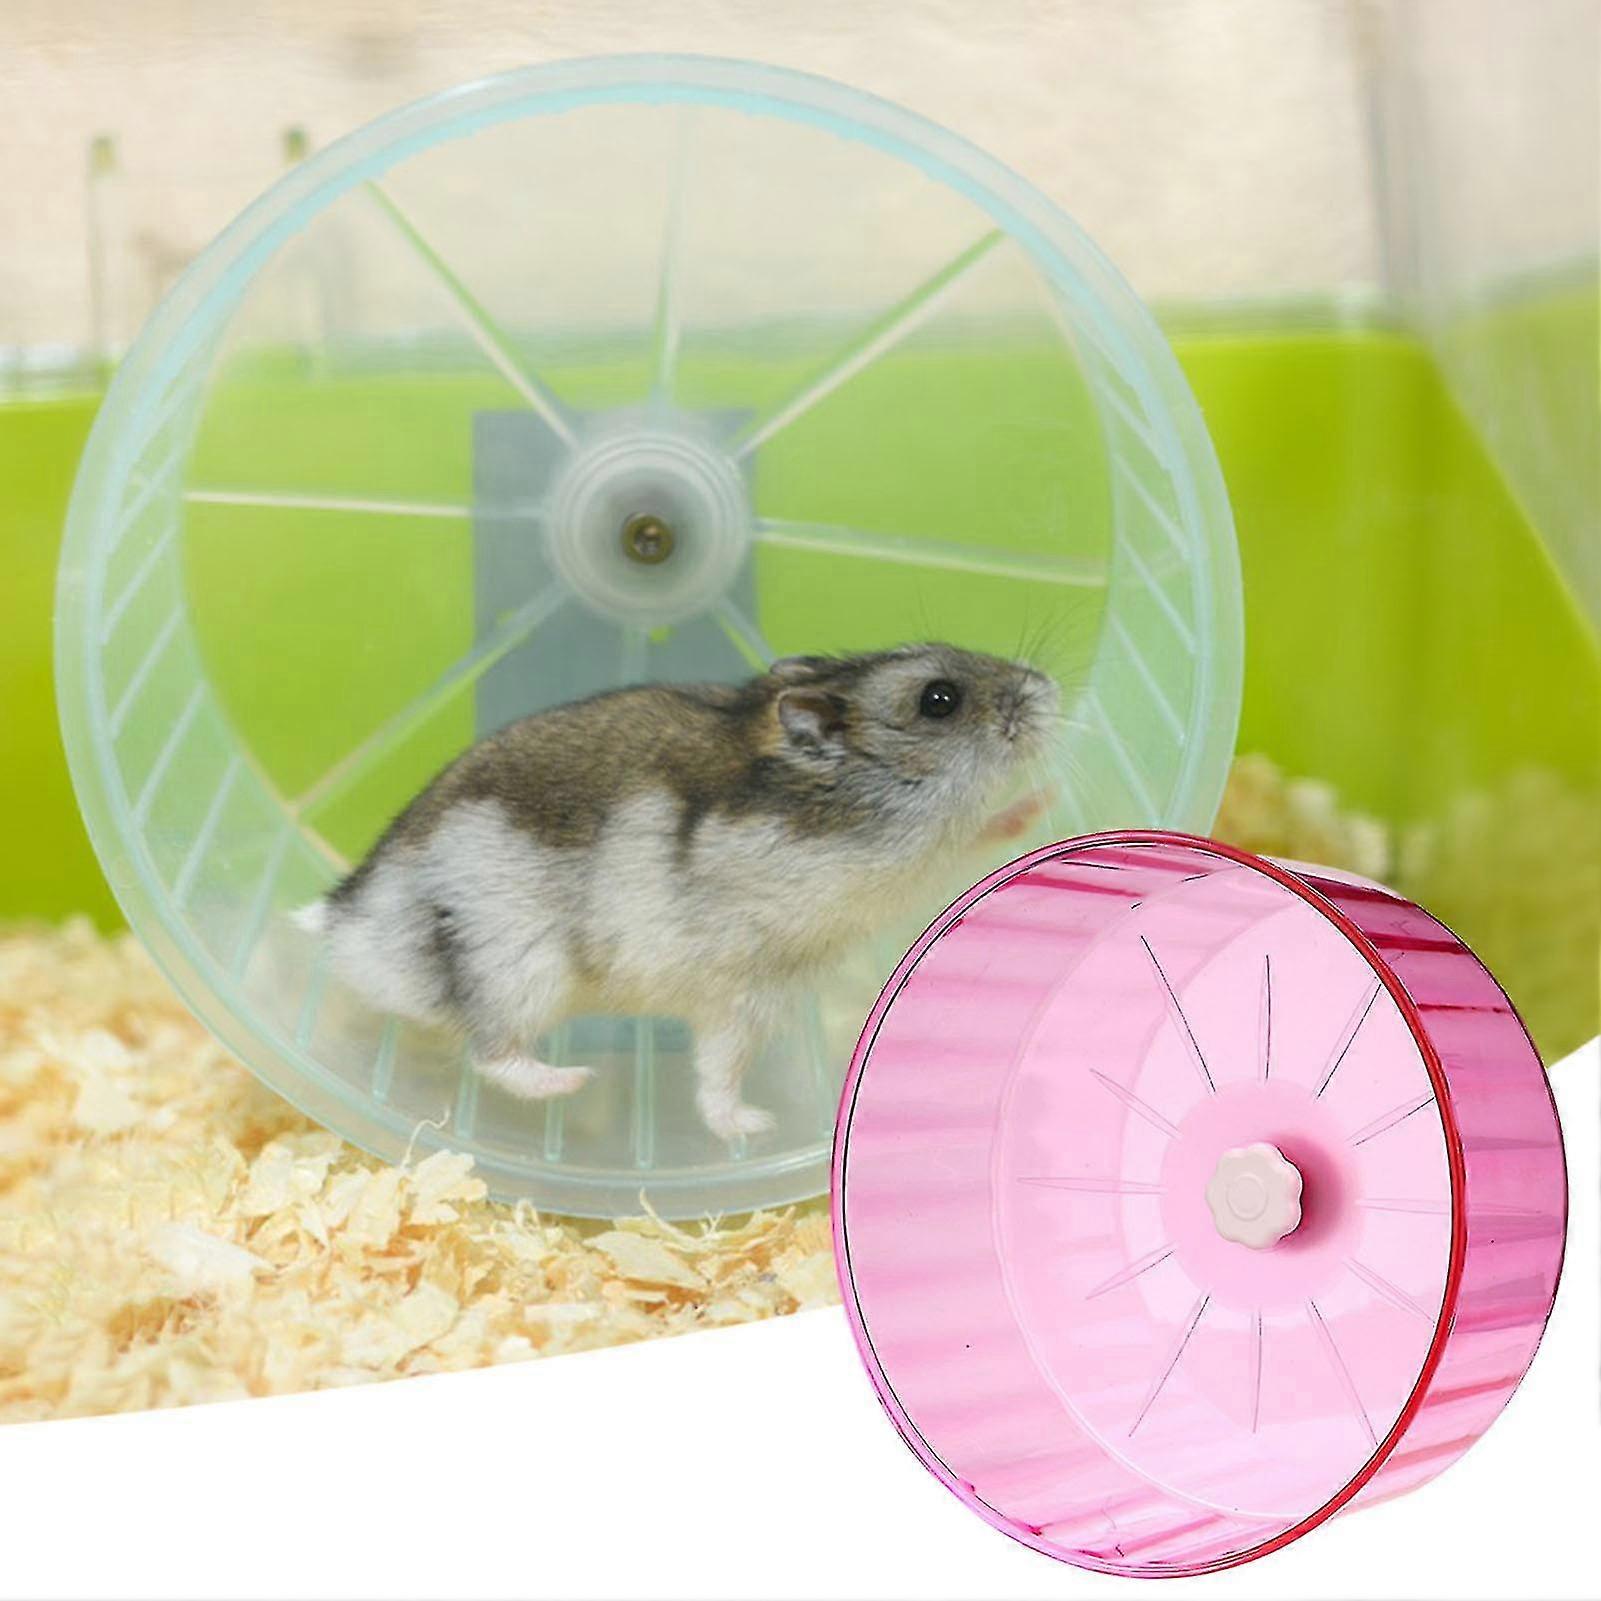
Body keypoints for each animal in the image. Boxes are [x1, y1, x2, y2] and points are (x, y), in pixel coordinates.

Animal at [298, 642, 1059, 1141]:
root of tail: (350, 918)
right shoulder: (750, 991)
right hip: (516, 972)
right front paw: (756, 1124)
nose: (1048, 686)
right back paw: (575, 1081)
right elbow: (717, 1079)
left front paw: (1042, 801)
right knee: (491, 1054)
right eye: (939, 700)